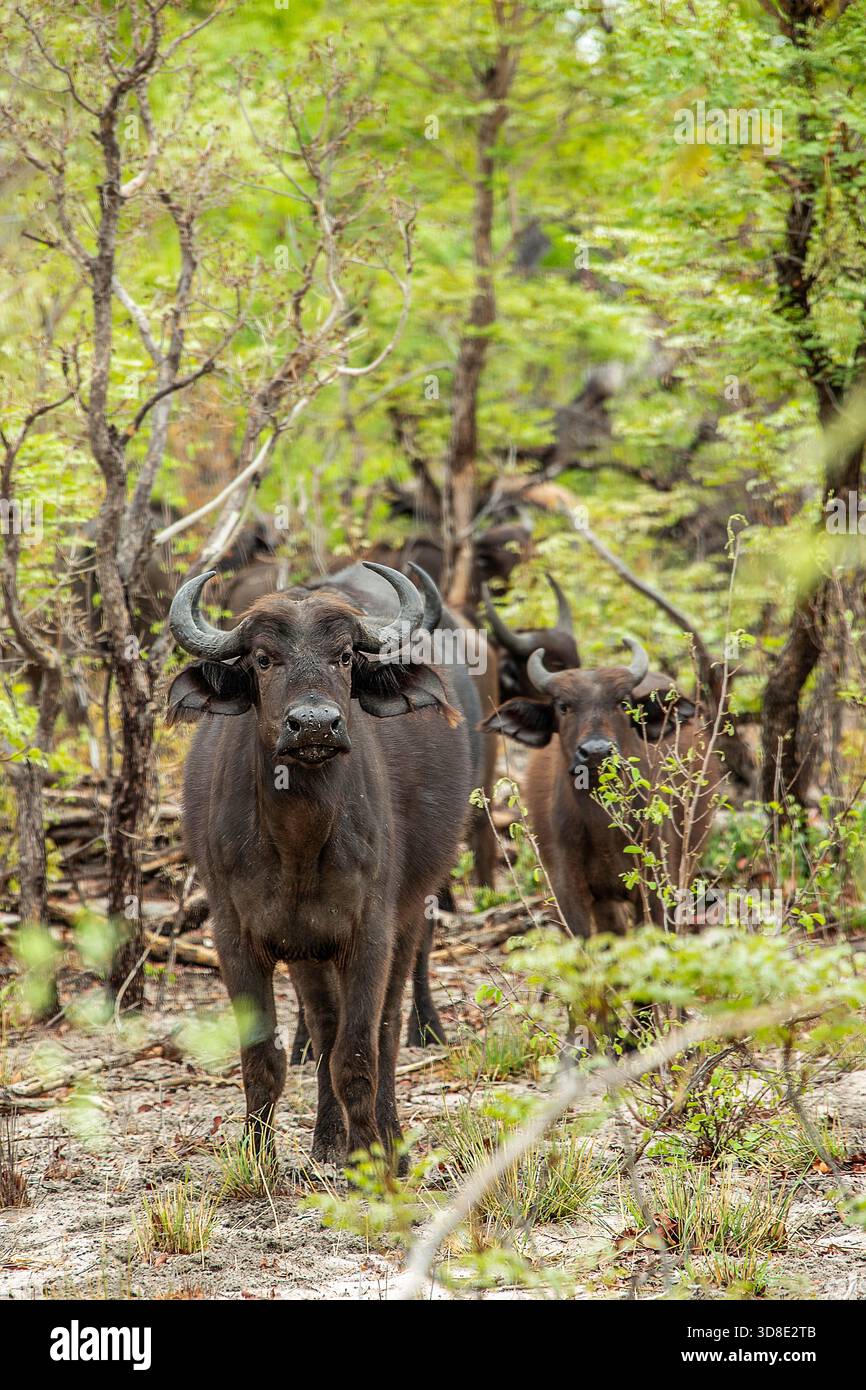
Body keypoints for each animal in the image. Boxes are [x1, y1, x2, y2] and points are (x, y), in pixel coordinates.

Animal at [167, 561, 476, 1165]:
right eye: (263, 659)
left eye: (346, 656)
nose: (313, 725)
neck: (298, 845)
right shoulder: (236, 937)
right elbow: (263, 1058)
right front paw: (258, 1161)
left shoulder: (370, 933)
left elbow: (357, 1056)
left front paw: (374, 1158)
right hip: (307, 949)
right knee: (325, 1023)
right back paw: (330, 1139)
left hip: (409, 916)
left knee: (385, 1029)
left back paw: (388, 1138)